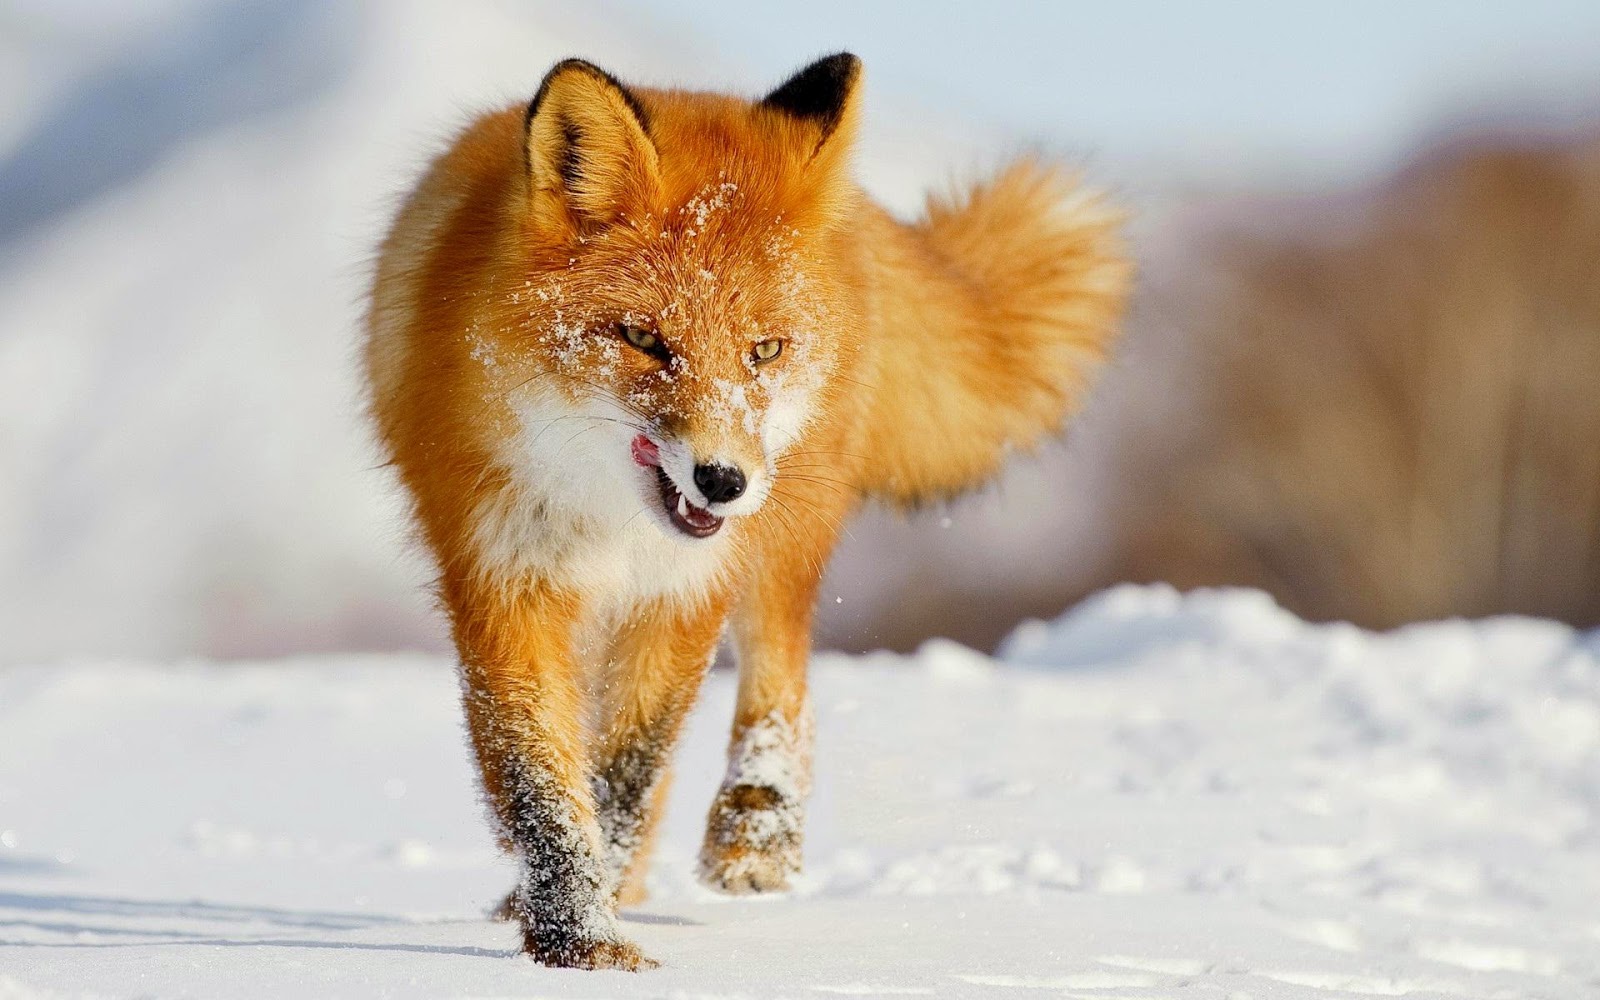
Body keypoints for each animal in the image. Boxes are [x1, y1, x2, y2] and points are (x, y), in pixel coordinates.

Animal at [363, 52, 1128, 969]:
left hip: (784, 534)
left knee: (782, 675)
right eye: (644, 340)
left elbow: (627, 771)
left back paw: (755, 834)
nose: (722, 480)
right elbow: (542, 780)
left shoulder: (683, 591)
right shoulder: (505, 579)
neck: (609, 522)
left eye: (763, 350)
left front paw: (589, 927)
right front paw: (578, 937)